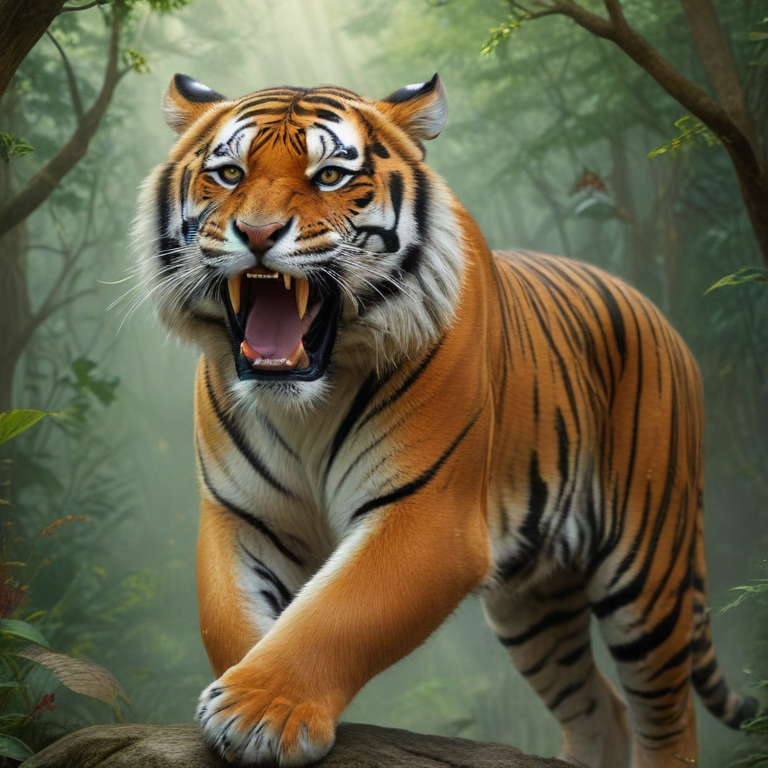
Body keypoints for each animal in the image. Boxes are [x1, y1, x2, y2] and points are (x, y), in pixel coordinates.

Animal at [134, 72, 758, 768]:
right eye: (229, 173)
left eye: (329, 176)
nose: (258, 233)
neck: (305, 404)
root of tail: (657, 315)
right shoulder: (242, 516)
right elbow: (233, 624)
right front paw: (242, 697)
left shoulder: (428, 515)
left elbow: (337, 614)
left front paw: (260, 711)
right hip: (535, 606)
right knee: (601, 708)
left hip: (647, 574)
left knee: (667, 717)